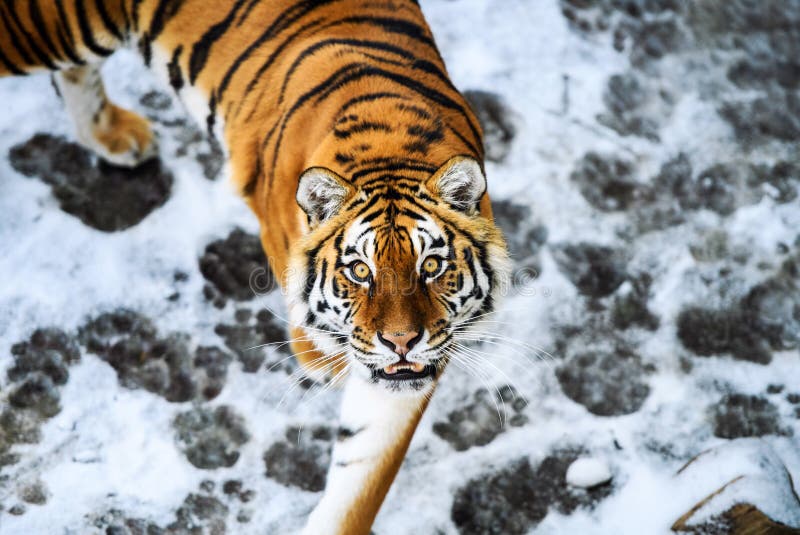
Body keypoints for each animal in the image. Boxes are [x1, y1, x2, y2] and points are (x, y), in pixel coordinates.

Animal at [0, 1, 510, 533]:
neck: (391, 151)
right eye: (360, 271)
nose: (401, 342)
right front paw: (319, 357)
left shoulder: (409, 371)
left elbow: (359, 481)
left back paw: (117, 137)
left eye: (431, 265)